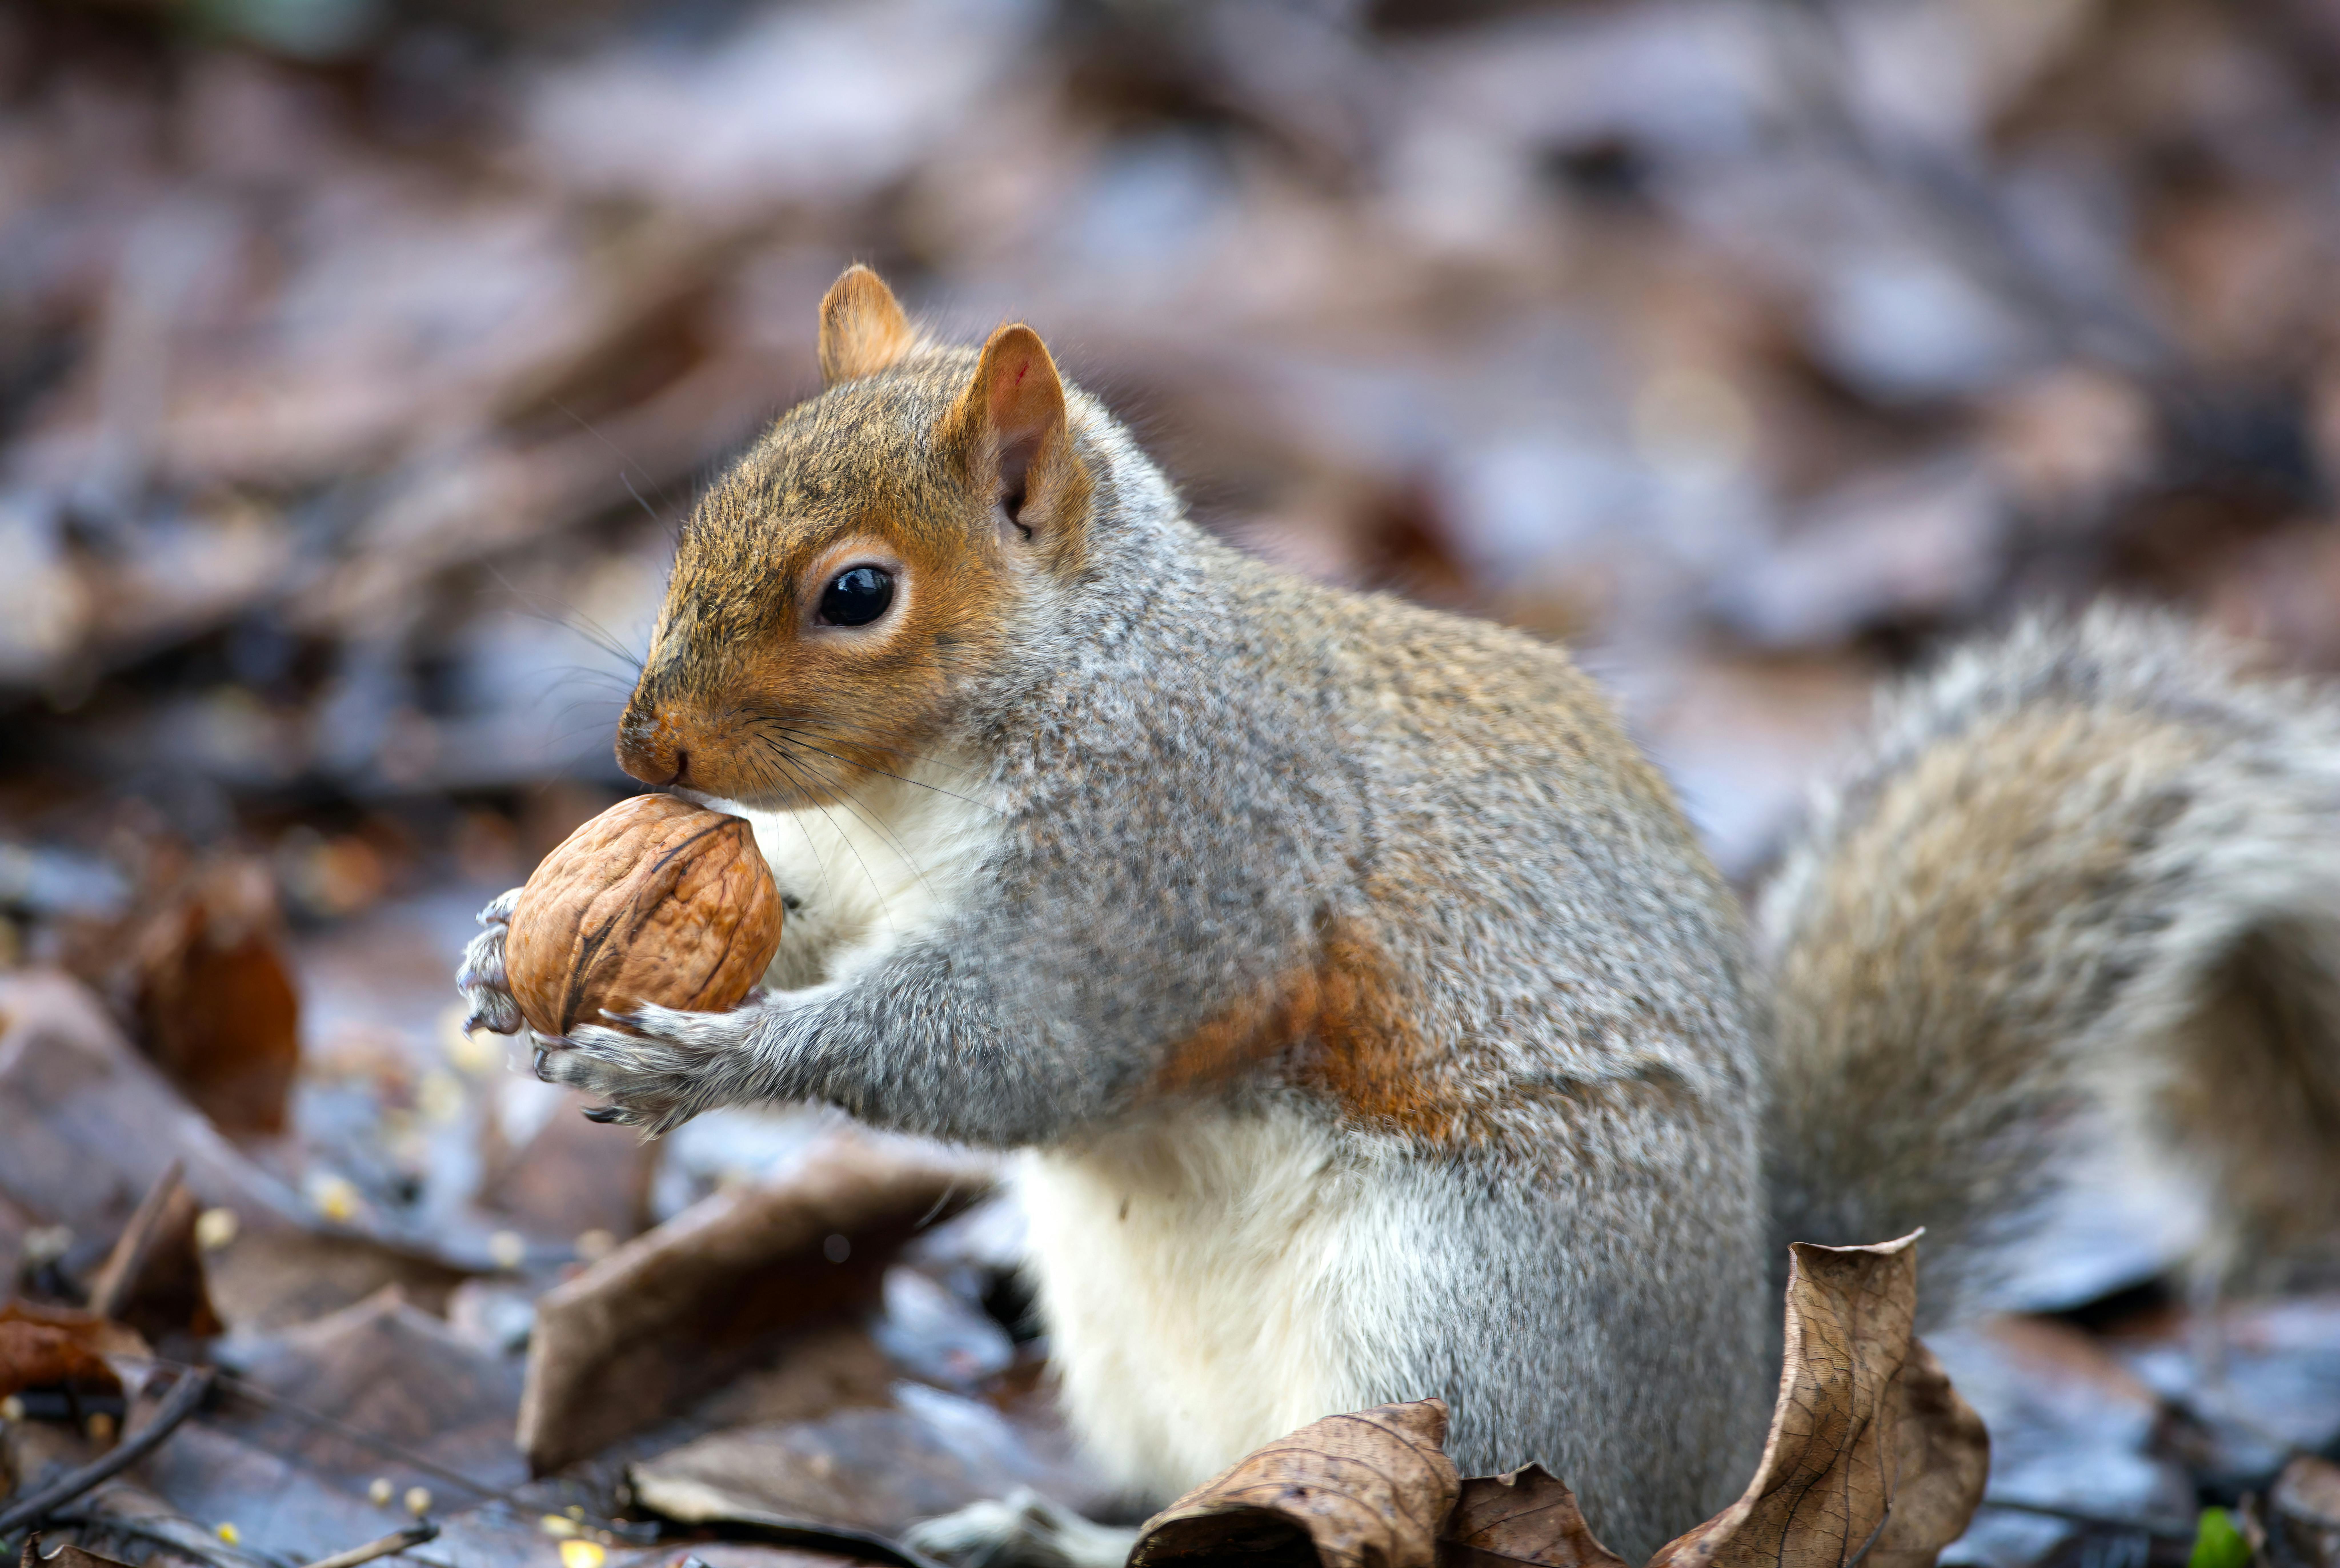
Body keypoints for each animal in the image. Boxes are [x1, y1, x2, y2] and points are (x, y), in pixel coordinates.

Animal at [456, 264, 2340, 1565]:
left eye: (857, 593)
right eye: (701, 515)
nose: (644, 749)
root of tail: (1740, 1409)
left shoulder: (1172, 864)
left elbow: (1007, 1051)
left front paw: (702, 1065)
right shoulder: (850, 869)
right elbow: (803, 923)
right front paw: (502, 952)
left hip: (1454, 1328)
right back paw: (1053, 1529)